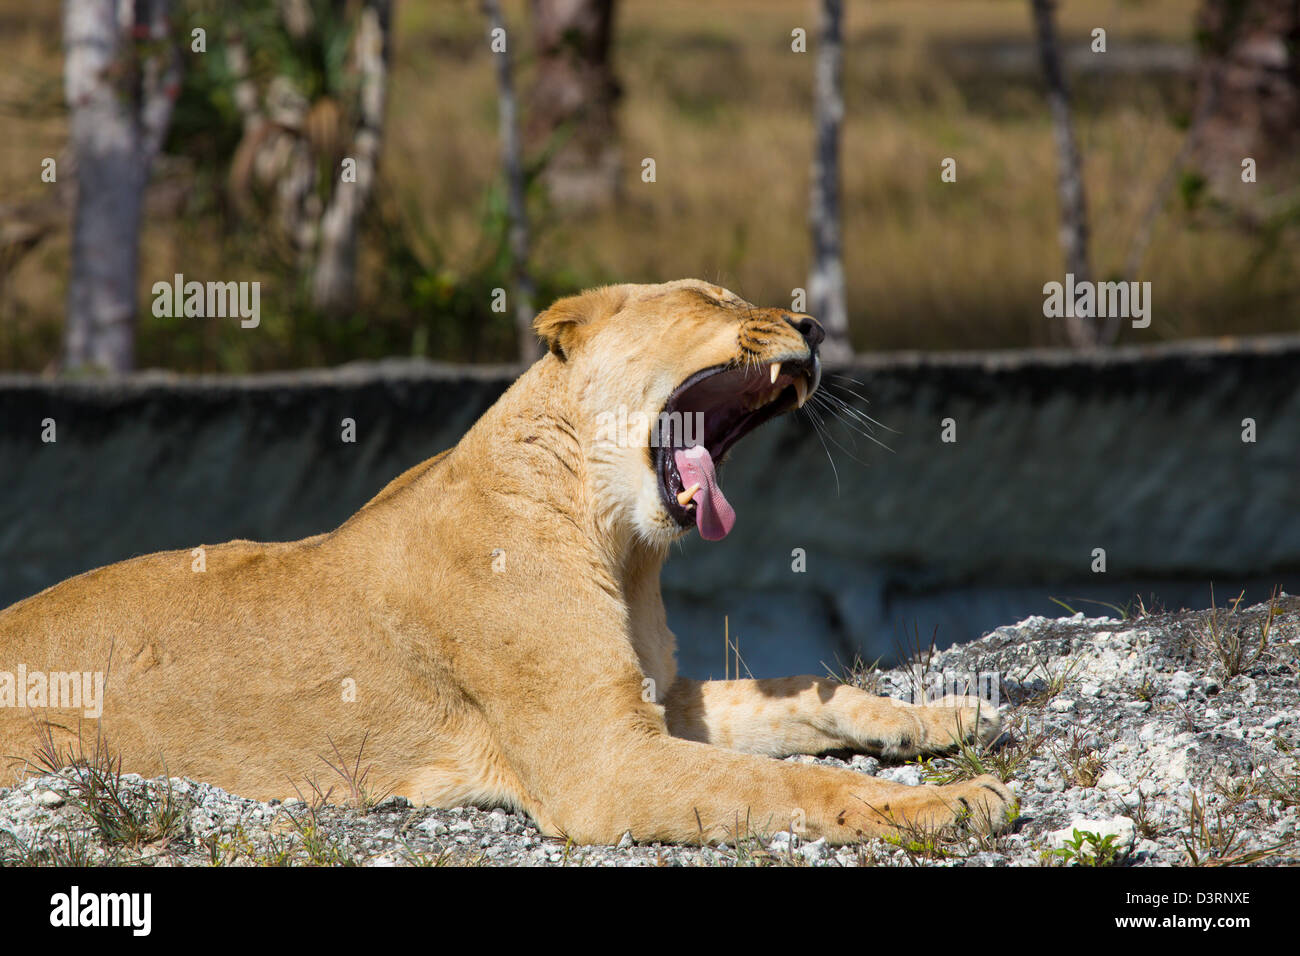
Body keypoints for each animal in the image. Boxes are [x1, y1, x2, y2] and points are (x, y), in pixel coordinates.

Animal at [0, 279, 1015, 845]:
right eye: (712, 301)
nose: (813, 325)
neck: (618, 537)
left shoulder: (656, 700)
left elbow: (807, 693)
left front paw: (941, 716)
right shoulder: (600, 764)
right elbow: (787, 781)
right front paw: (954, 803)